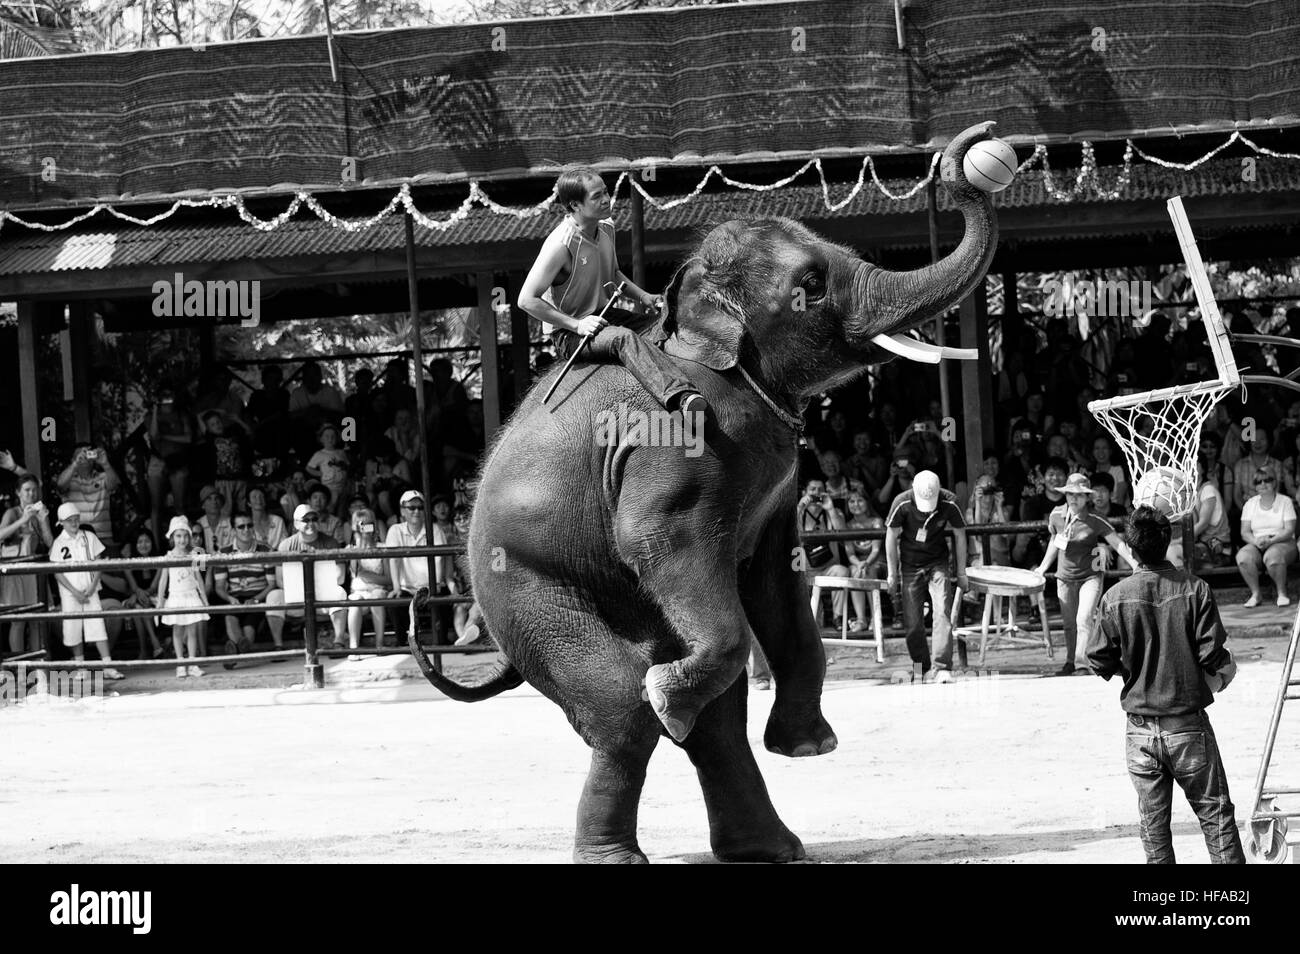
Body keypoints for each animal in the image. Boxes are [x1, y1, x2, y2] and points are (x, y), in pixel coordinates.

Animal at [410, 122, 1001, 863]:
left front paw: (809, 745)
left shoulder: (774, 483)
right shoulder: (677, 441)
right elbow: (662, 543)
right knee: (620, 711)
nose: (981, 147)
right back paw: (632, 814)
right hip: (528, 589)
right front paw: (672, 697)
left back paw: (770, 844)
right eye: (811, 286)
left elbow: (777, 574)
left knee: (712, 726)